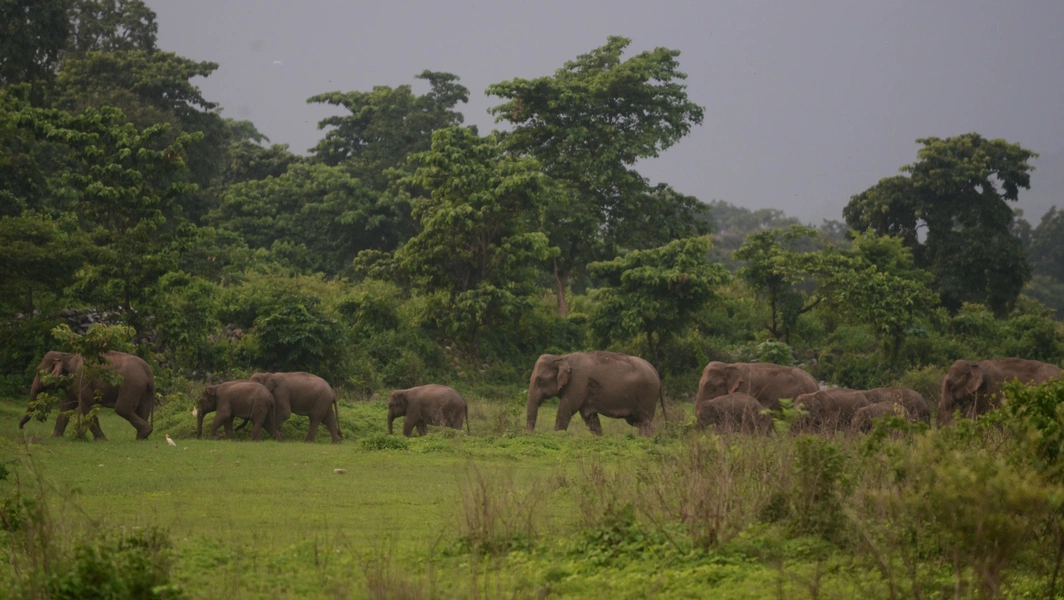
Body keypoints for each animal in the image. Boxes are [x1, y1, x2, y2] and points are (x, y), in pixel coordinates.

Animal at [19, 350, 155, 440]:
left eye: (38, 371)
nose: (21, 428)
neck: (66, 355)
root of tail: (148, 372)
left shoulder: (81, 378)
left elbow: (87, 403)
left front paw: (101, 439)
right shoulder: (73, 383)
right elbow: (66, 404)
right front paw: (54, 436)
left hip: (131, 385)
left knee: (122, 409)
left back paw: (146, 432)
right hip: (144, 390)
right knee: (143, 409)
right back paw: (142, 438)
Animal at [526, 351, 663, 437]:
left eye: (539, 380)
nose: (530, 435)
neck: (562, 358)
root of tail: (656, 372)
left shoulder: (577, 383)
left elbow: (566, 410)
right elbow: (590, 417)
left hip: (647, 395)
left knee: (644, 422)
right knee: (638, 422)